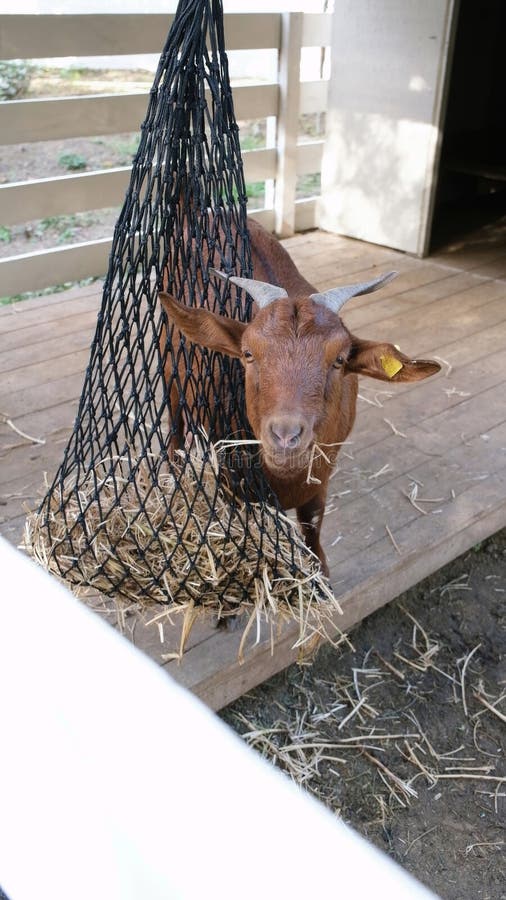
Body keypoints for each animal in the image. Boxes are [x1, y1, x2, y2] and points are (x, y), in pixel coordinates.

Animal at [159, 218, 440, 576]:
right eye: (247, 354)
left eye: (340, 359)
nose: (285, 436)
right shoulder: (230, 481)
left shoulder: (320, 481)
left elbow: (314, 533)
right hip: (168, 358)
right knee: (174, 412)